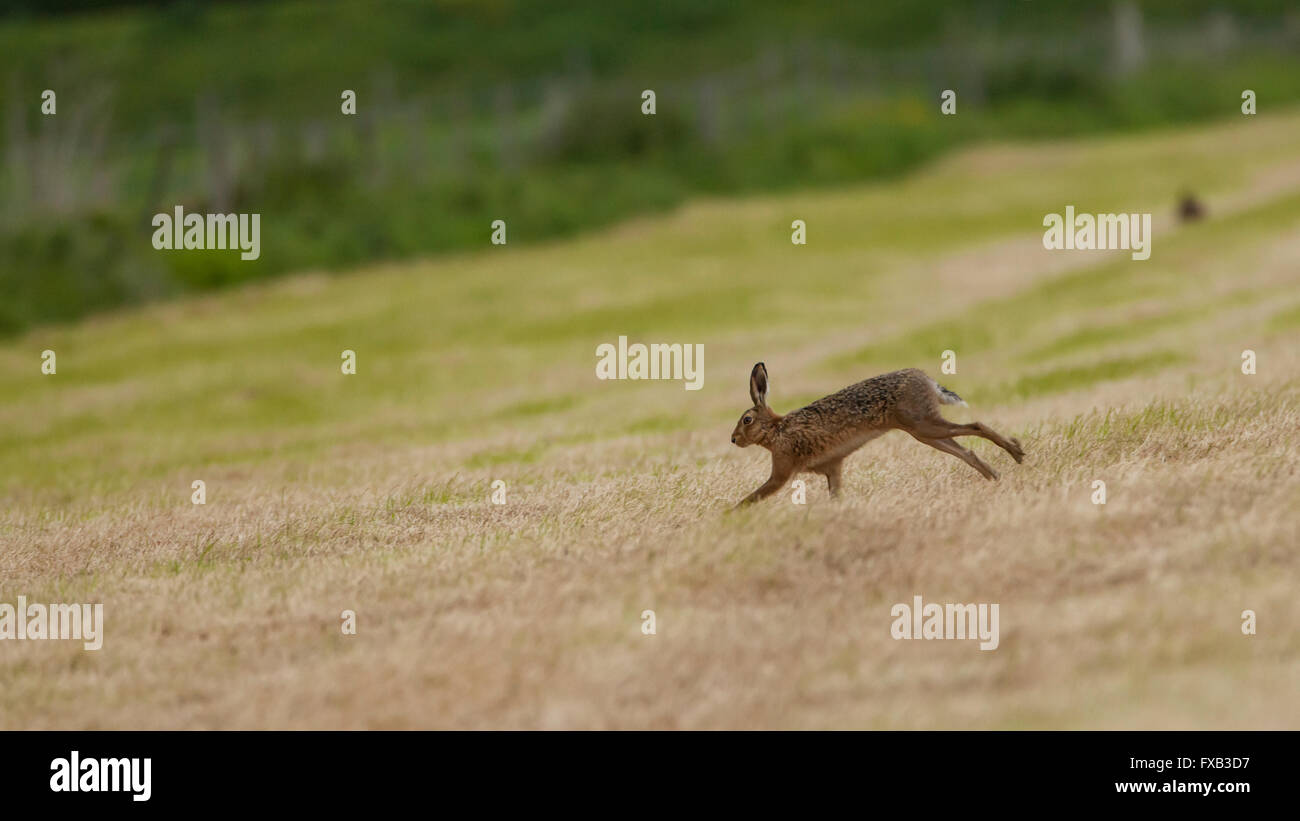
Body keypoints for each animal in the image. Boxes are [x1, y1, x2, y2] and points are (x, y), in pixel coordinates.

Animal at [730, 362, 1024, 507]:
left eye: (747, 420)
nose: (733, 439)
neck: (776, 430)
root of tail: (926, 380)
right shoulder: (832, 467)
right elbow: (835, 495)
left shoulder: (782, 471)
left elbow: (755, 496)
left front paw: (730, 514)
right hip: (923, 432)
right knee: (965, 450)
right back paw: (995, 476)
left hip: (924, 424)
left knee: (976, 426)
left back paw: (1016, 452)